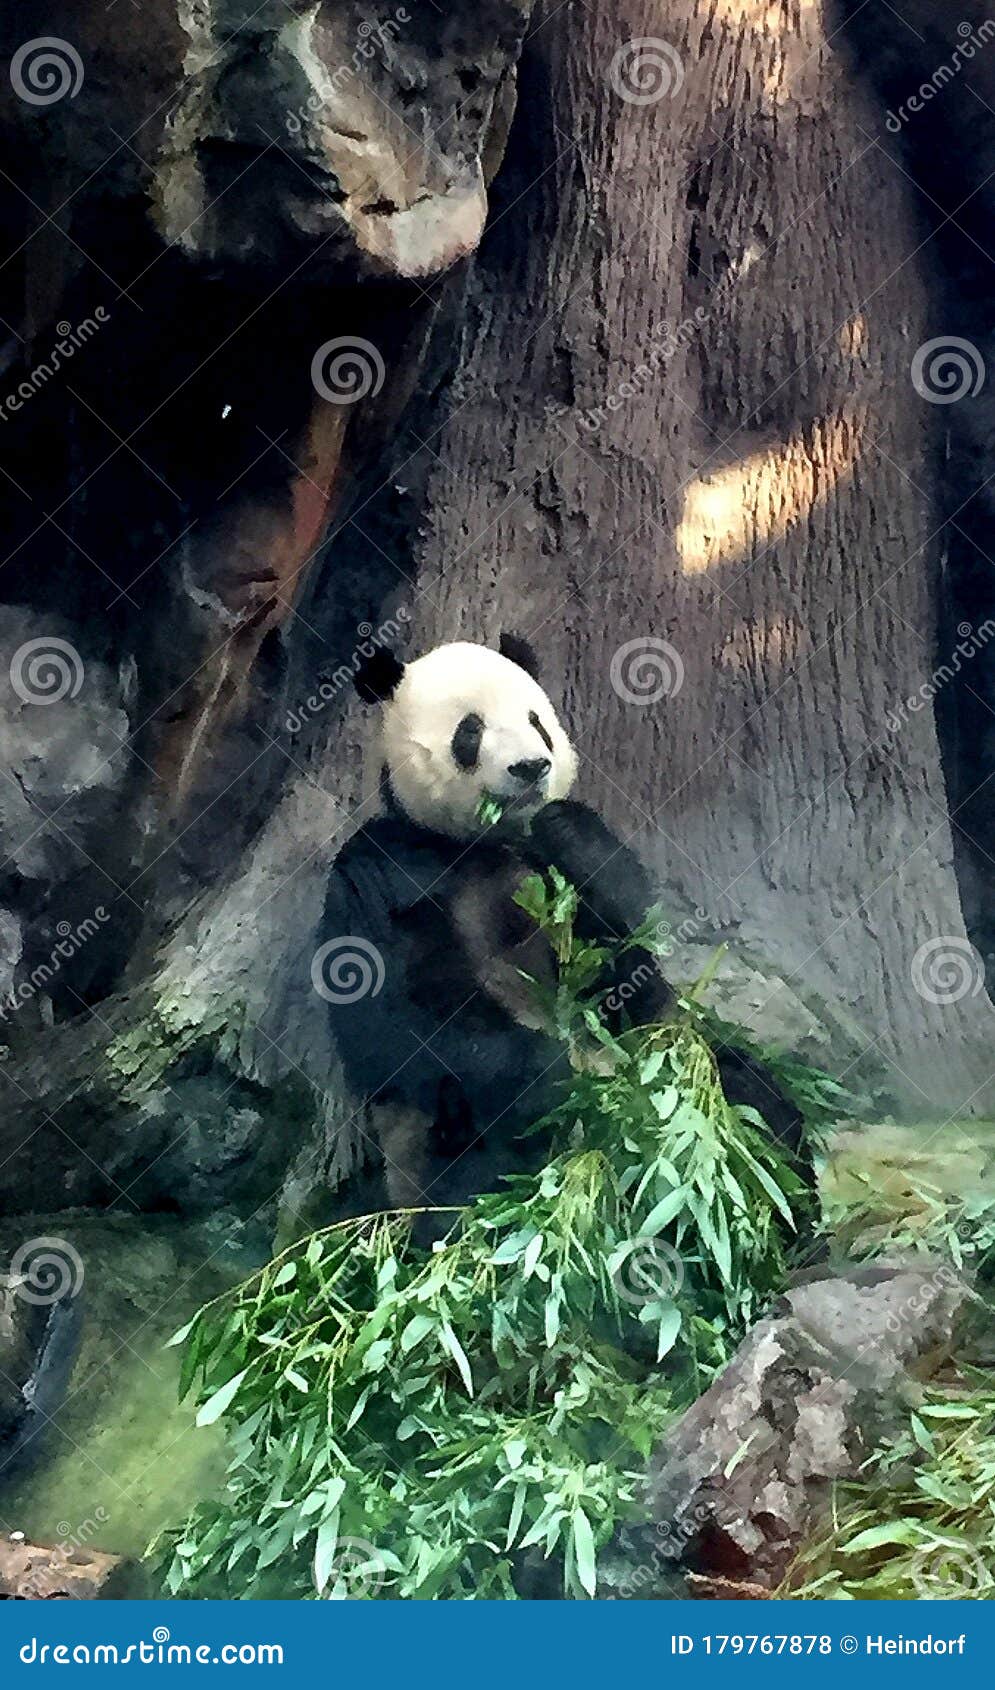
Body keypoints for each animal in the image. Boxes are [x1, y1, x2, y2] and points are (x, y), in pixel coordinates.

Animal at [320, 633, 801, 1237]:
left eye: (536, 721)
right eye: (470, 731)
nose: (532, 767)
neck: (484, 842)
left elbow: (629, 963)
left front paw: (566, 833)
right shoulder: (383, 873)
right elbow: (391, 1017)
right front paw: (546, 1075)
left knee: (753, 1099)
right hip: (430, 1157)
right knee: (475, 1185)